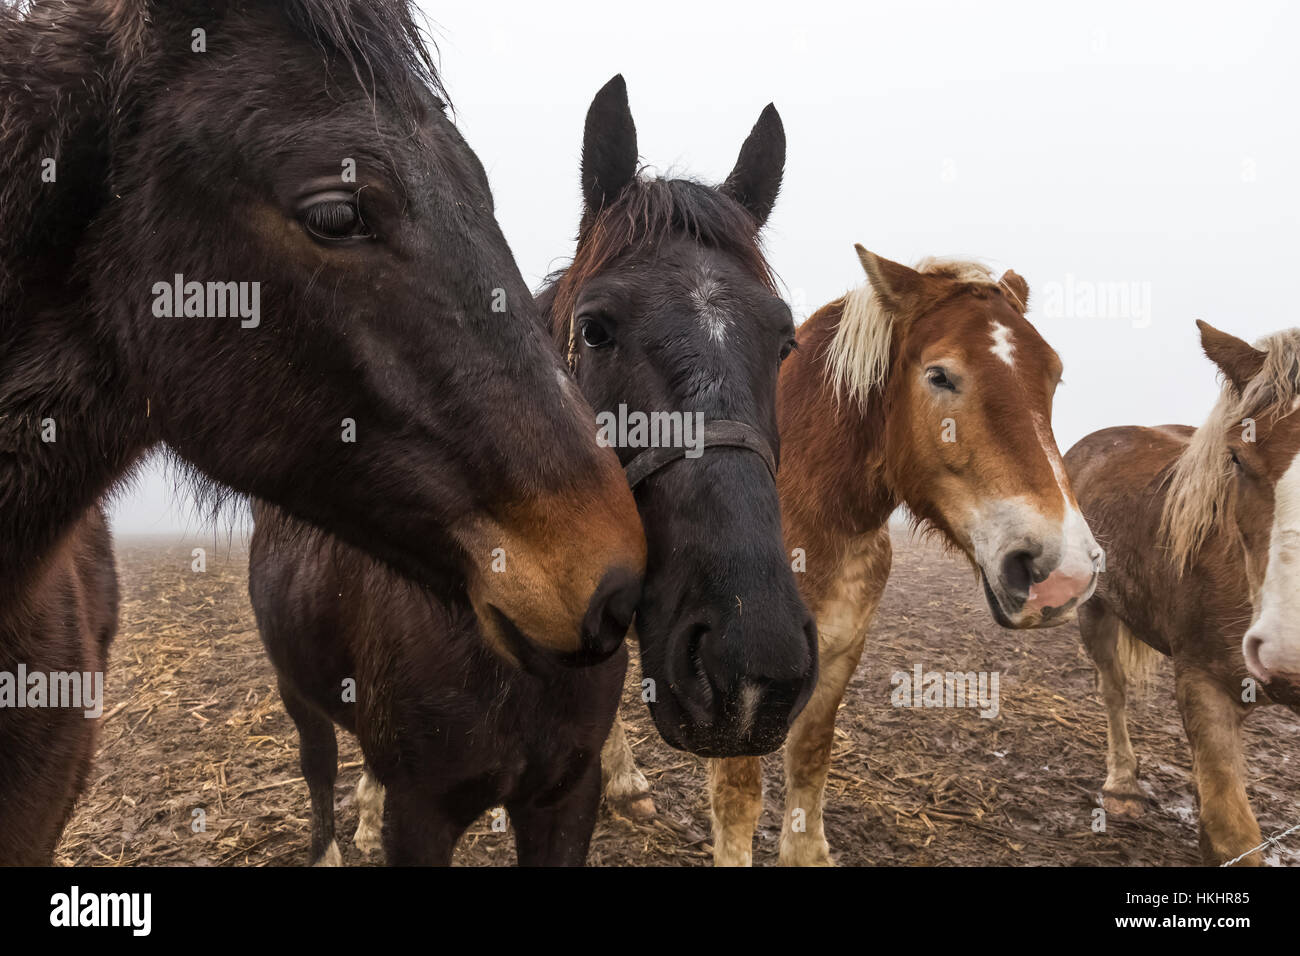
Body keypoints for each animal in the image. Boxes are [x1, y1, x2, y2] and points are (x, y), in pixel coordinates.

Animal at [251, 75, 817, 865]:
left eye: (784, 340)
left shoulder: (562, 799)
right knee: (317, 765)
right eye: (595, 328)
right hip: (294, 690)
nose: (751, 665)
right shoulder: (421, 814)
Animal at [607, 247, 1103, 864]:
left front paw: (807, 852)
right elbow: (739, 798)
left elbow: (811, 758)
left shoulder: (841, 652)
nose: (1063, 573)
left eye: (1053, 375)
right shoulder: (738, 678)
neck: (812, 517)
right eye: (940, 375)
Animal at [1066, 321, 1300, 866]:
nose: (1290, 650)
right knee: (1113, 689)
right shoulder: (1203, 682)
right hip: (1096, 611)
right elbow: (1233, 835)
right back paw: (1123, 786)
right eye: (1237, 457)